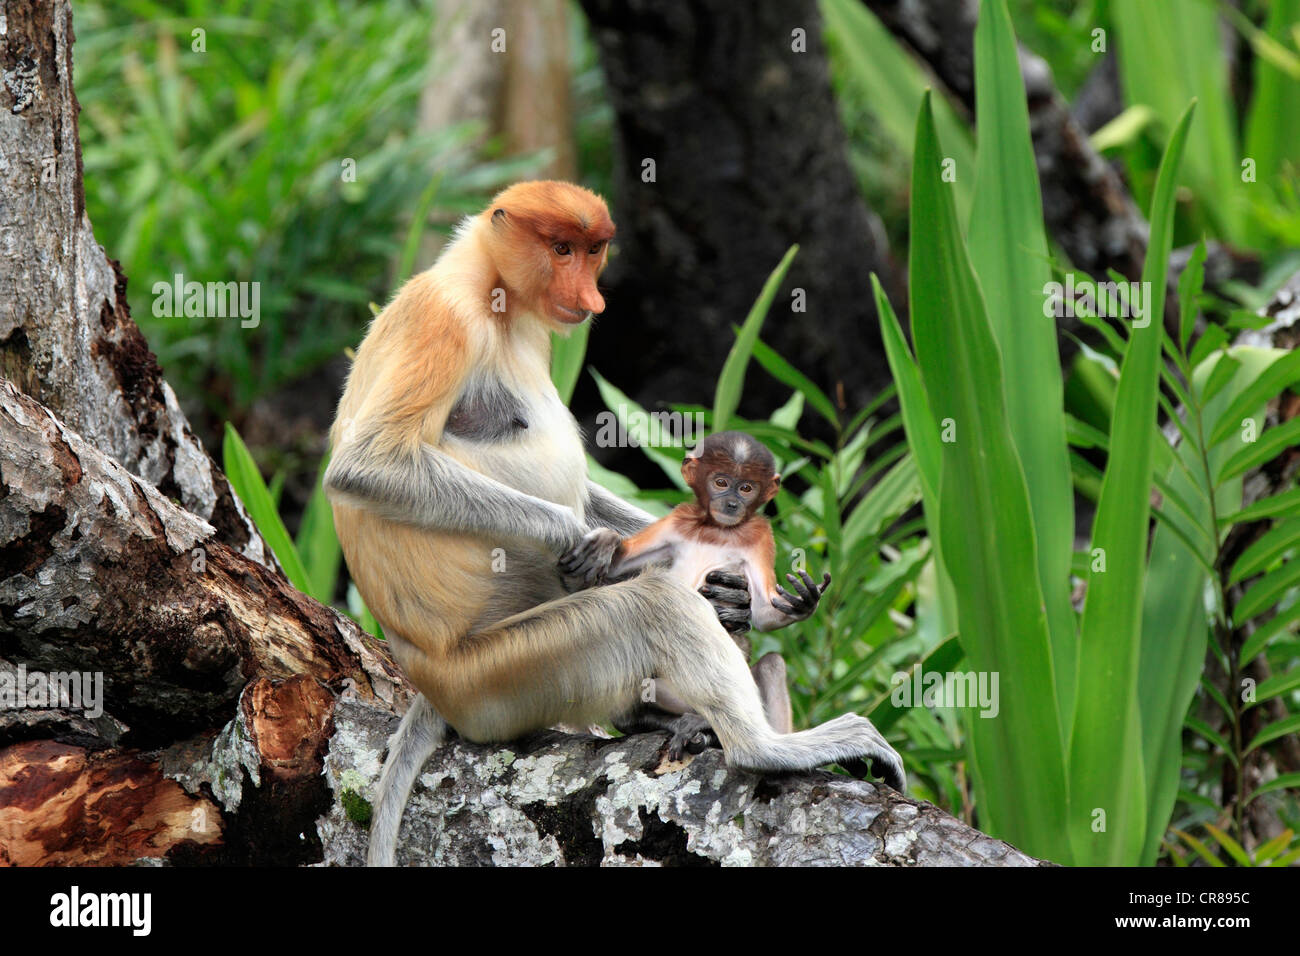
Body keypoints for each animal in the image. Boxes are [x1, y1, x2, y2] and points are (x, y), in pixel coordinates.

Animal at [559, 431, 842, 764]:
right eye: (720, 482)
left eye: (746, 488)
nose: (731, 503)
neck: (718, 530)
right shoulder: (679, 519)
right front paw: (605, 542)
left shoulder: (759, 534)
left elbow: (763, 613)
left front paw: (804, 603)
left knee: (771, 665)